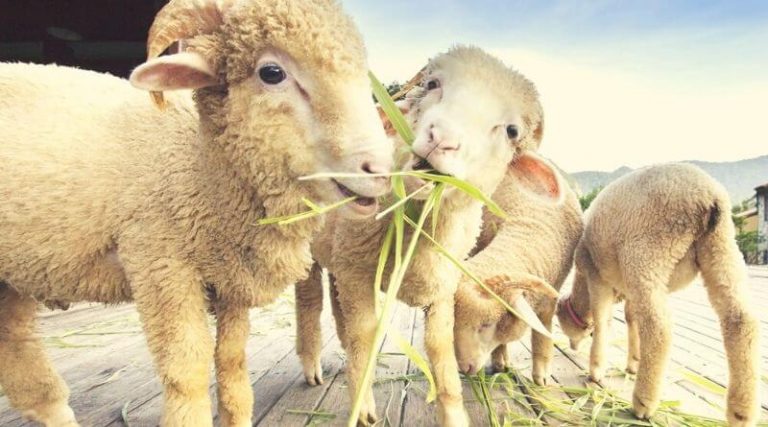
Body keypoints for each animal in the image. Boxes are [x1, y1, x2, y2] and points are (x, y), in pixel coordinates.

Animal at [0, 1, 393, 426]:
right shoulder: (160, 265)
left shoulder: (230, 275)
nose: (380, 169)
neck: (197, 168)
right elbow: (187, 369)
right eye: (271, 73)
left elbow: (232, 362)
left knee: (16, 345)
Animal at [294, 46, 563, 426]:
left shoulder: (441, 284)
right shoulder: (359, 274)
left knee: (335, 297)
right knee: (309, 302)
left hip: (340, 255)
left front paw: (453, 413)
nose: (443, 140)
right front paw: (362, 405)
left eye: (512, 130)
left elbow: (439, 348)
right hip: (309, 247)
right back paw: (312, 364)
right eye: (433, 83)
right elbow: (365, 336)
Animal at [452, 166, 583, 386]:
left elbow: (541, 336)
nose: (464, 368)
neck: (527, 227)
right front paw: (499, 363)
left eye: (486, 324)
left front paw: (541, 377)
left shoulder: (549, 299)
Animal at [555, 163, 760, 426]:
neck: (582, 288)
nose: (572, 347)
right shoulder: (628, 288)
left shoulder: (597, 275)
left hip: (646, 254)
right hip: (721, 248)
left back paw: (643, 403)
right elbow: (631, 318)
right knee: (741, 320)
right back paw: (741, 412)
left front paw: (596, 369)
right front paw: (634, 363)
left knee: (658, 328)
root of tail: (708, 196)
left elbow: (603, 322)